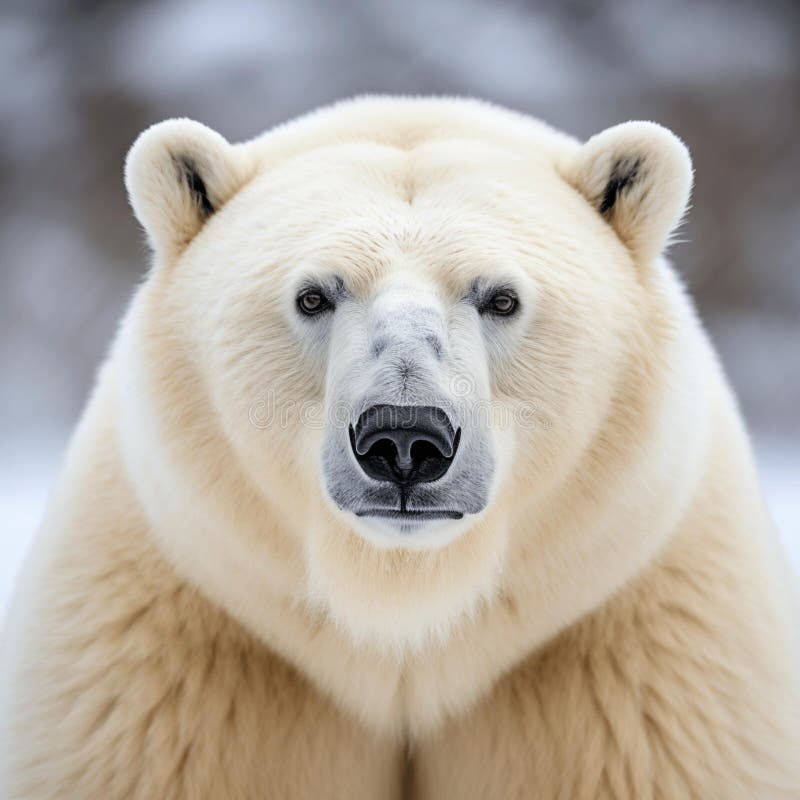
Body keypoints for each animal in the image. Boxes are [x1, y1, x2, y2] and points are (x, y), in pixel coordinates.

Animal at [1, 96, 798, 799]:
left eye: (501, 297)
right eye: (314, 295)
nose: (406, 439)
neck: (404, 612)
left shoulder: (631, 662)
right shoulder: (178, 660)